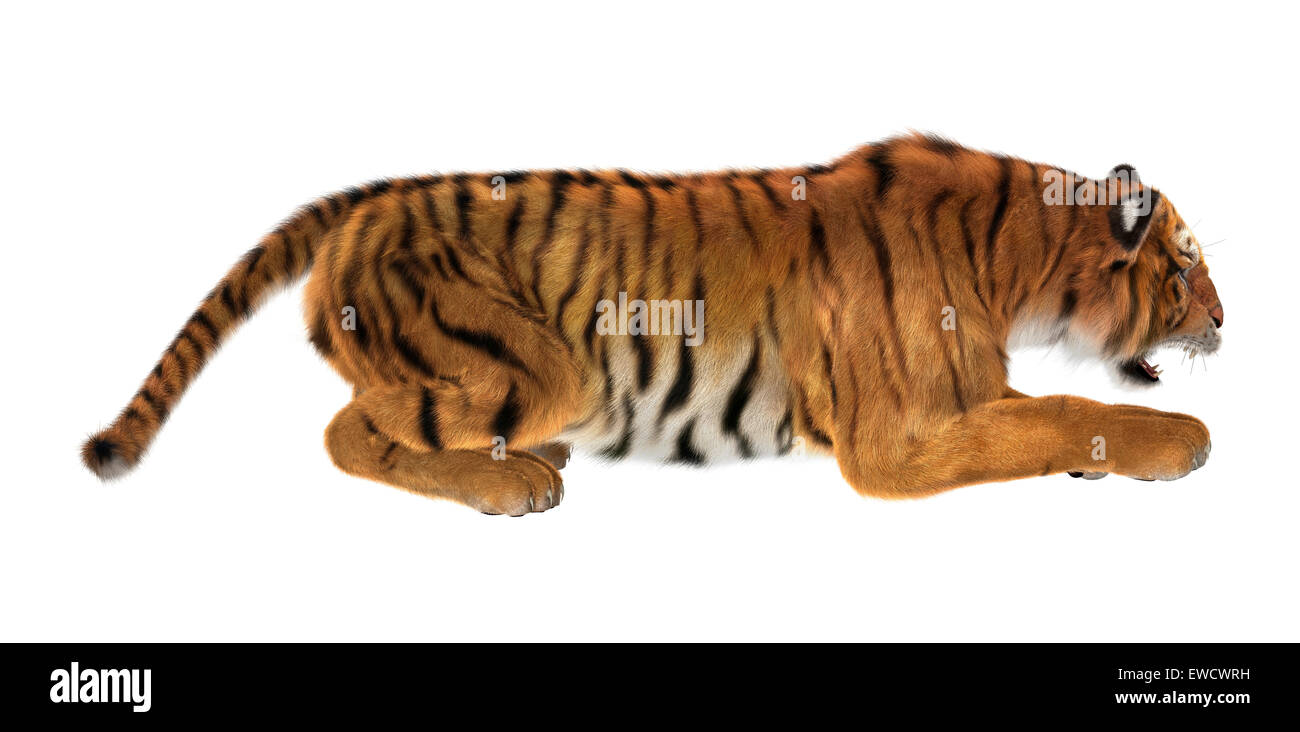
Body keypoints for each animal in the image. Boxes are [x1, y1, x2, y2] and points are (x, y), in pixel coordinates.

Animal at [81, 133, 1223, 515]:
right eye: (1182, 264)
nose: (1225, 320)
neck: (1011, 260)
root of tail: (367, 201)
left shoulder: (963, 397)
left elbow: (1046, 413)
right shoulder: (893, 442)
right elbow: (1061, 409)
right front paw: (1182, 442)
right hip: (543, 368)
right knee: (347, 429)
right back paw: (509, 482)